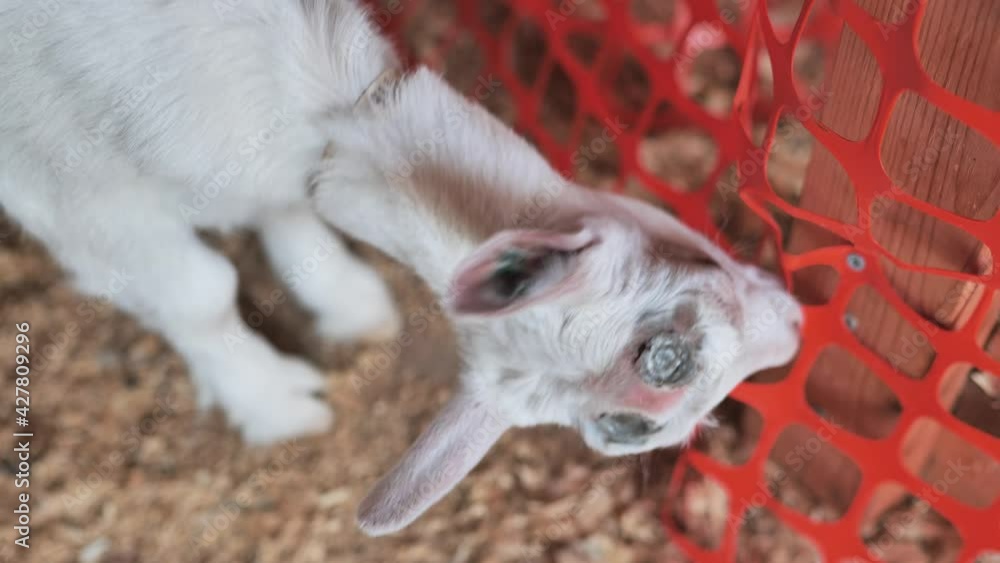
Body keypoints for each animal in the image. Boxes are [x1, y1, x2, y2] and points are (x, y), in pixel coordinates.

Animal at [0, 0, 802, 535]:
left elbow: (286, 208)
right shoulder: (73, 189)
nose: (797, 328)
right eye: (668, 361)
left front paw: (352, 305)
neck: (336, 117)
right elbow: (198, 292)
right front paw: (277, 404)